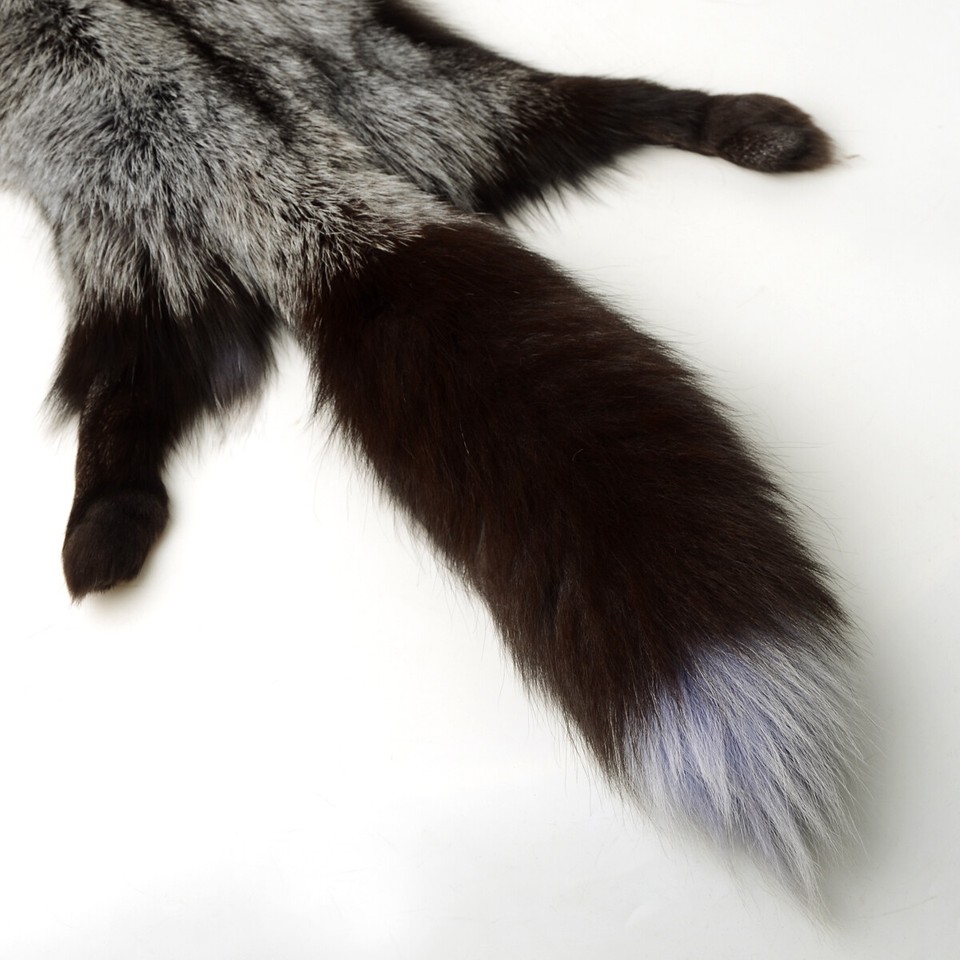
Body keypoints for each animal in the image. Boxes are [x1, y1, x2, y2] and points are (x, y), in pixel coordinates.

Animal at [0, 0, 861, 897]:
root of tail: (261, 135)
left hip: (128, 250)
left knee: (127, 398)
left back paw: (101, 525)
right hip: (430, 99)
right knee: (601, 103)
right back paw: (748, 126)